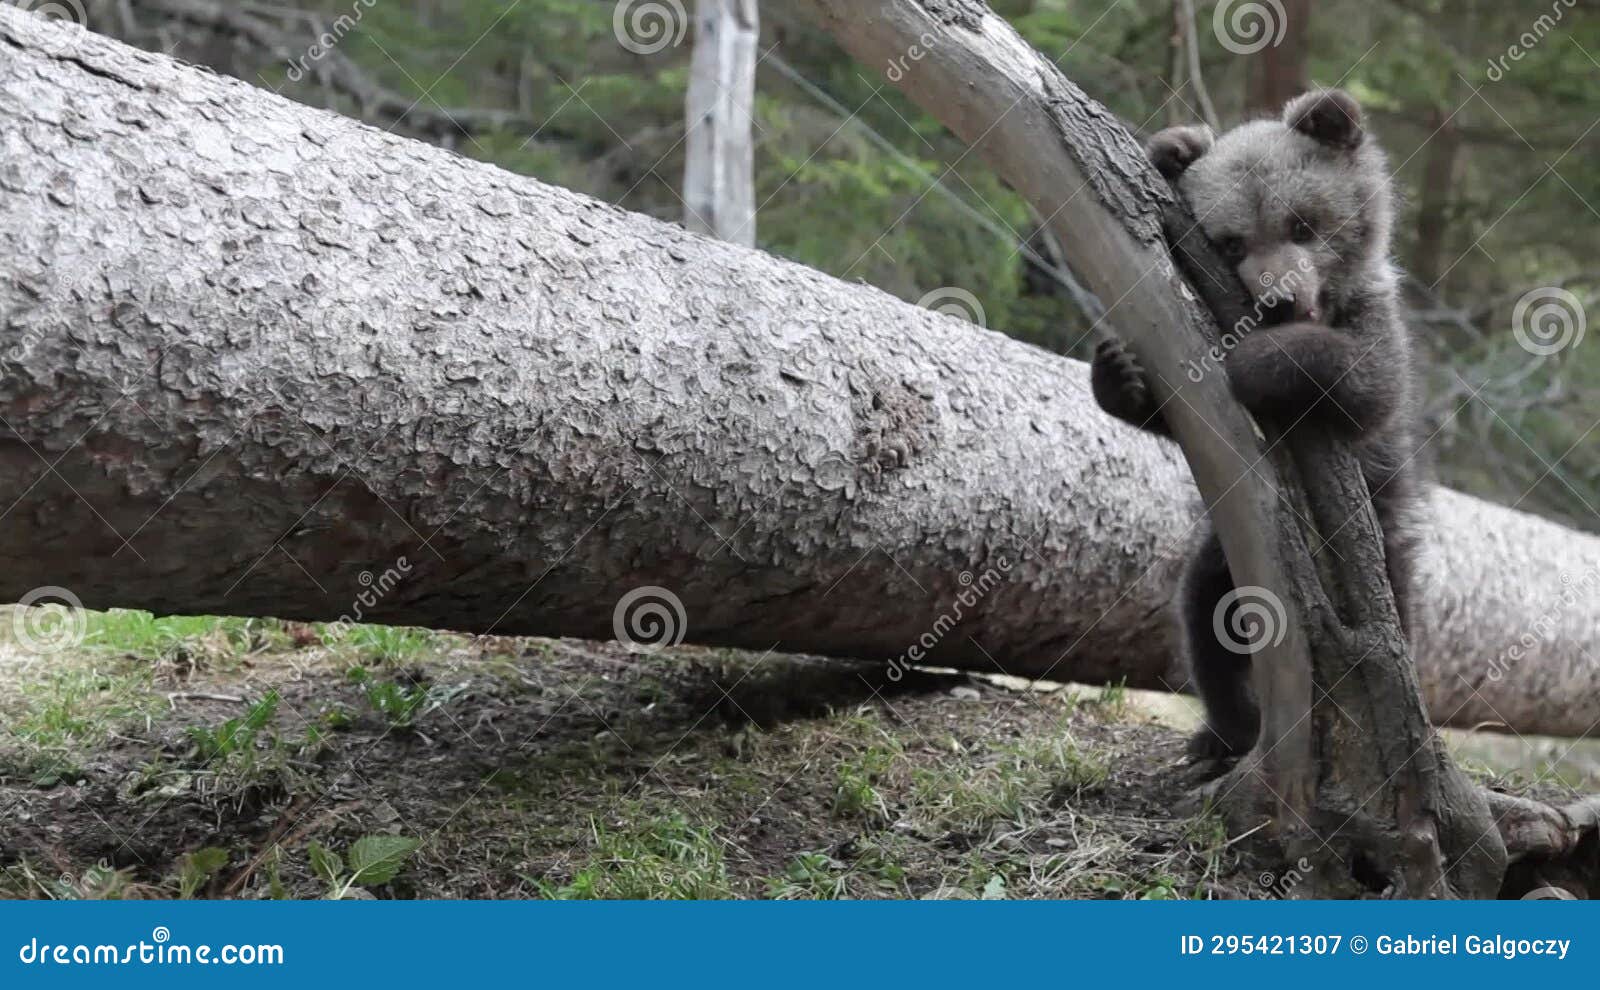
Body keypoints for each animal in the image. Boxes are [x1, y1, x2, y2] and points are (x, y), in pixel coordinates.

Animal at [1090, 89, 1424, 759]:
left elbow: (1368, 385)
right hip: (1225, 558)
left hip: (1379, 540)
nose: (1279, 301)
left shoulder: (1375, 327)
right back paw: (1224, 730)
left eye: (1303, 223)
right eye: (1232, 243)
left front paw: (1255, 360)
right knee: (1202, 621)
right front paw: (1118, 372)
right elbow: (1176, 407)